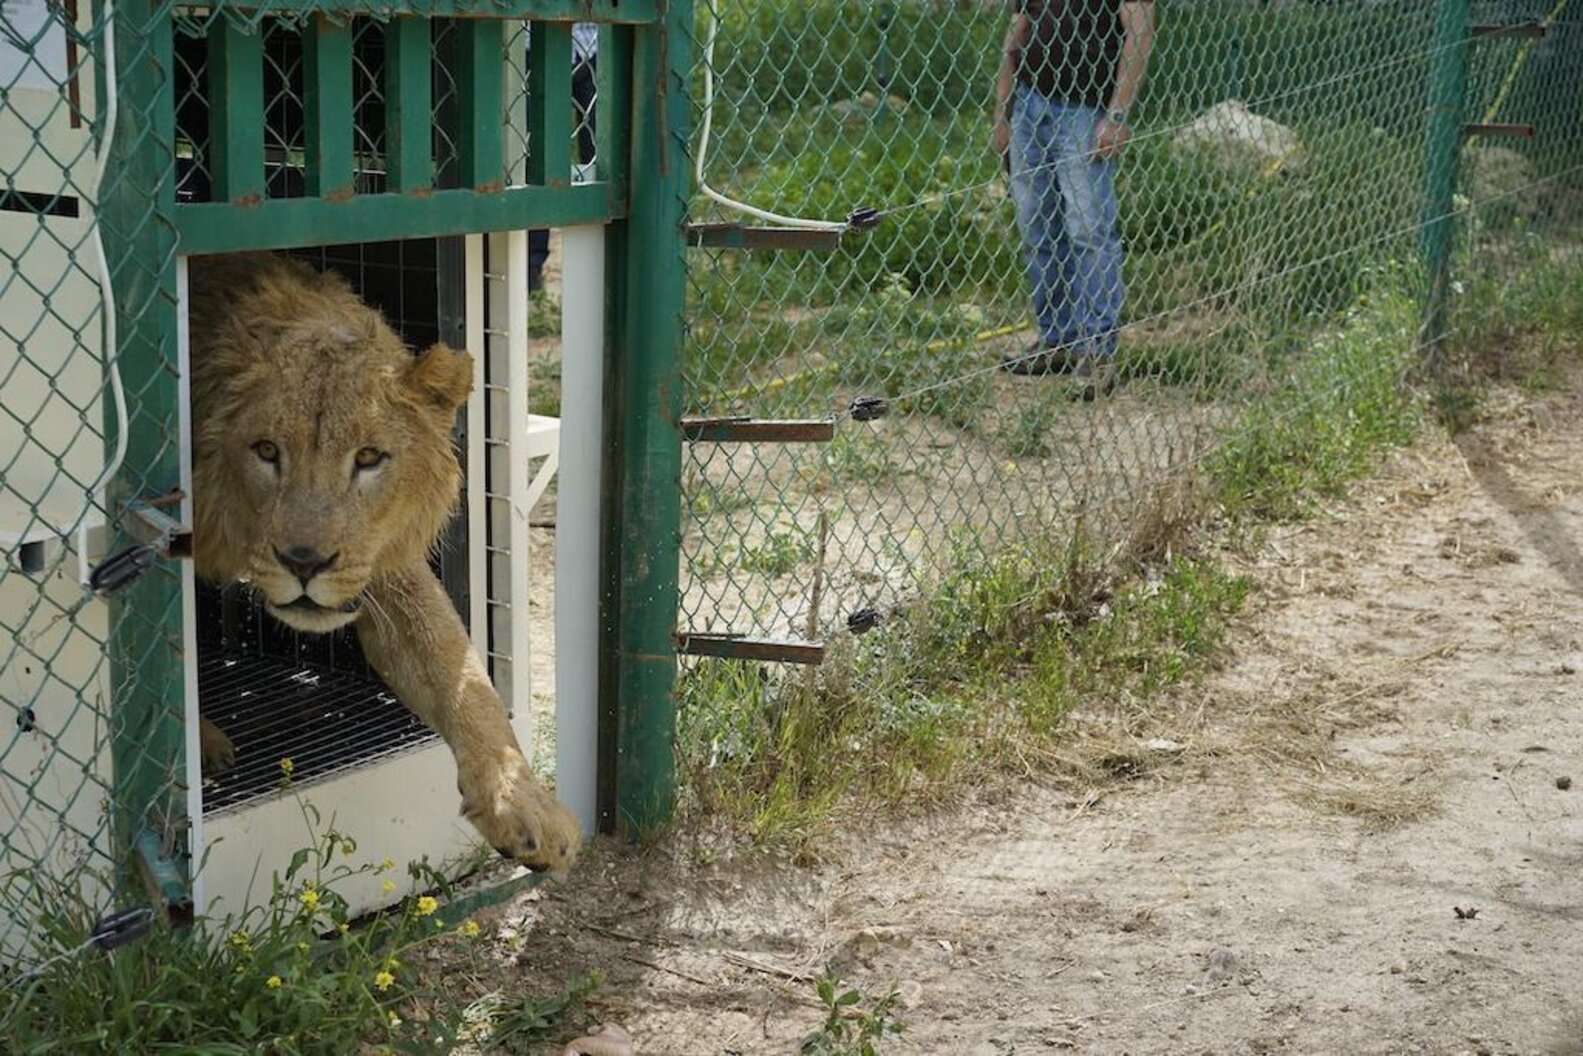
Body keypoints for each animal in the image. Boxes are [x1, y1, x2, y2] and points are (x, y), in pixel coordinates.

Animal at [187, 252, 579, 873]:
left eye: (369, 458)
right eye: (267, 451)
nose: (305, 562)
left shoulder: (384, 562)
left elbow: (461, 672)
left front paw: (524, 805)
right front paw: (195, 741)